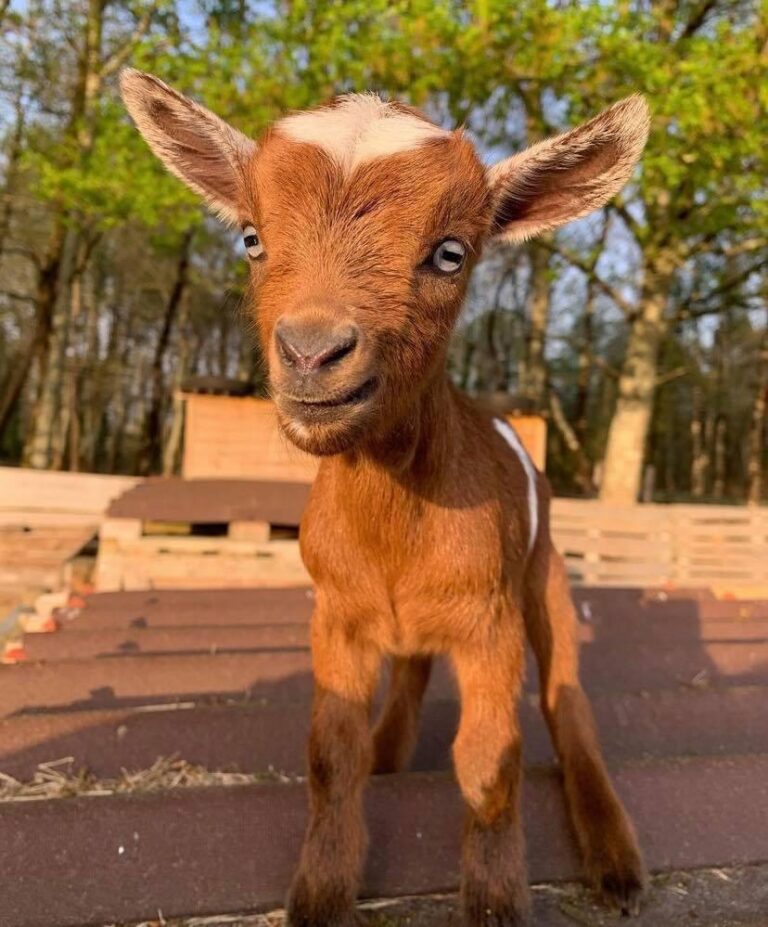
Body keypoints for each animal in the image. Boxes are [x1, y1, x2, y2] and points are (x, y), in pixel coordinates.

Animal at [121, 70, 650, 927]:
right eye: (251, 238)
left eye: (450, 253)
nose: (312, 353)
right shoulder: (335, 611)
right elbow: (332, 752)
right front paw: (322, 888)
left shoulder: (489, 620)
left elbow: (489, 759)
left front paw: (495, 898)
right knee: (411, 672)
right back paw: (394, 748)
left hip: (547, 578)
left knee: (566, 701)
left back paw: (616, 859)